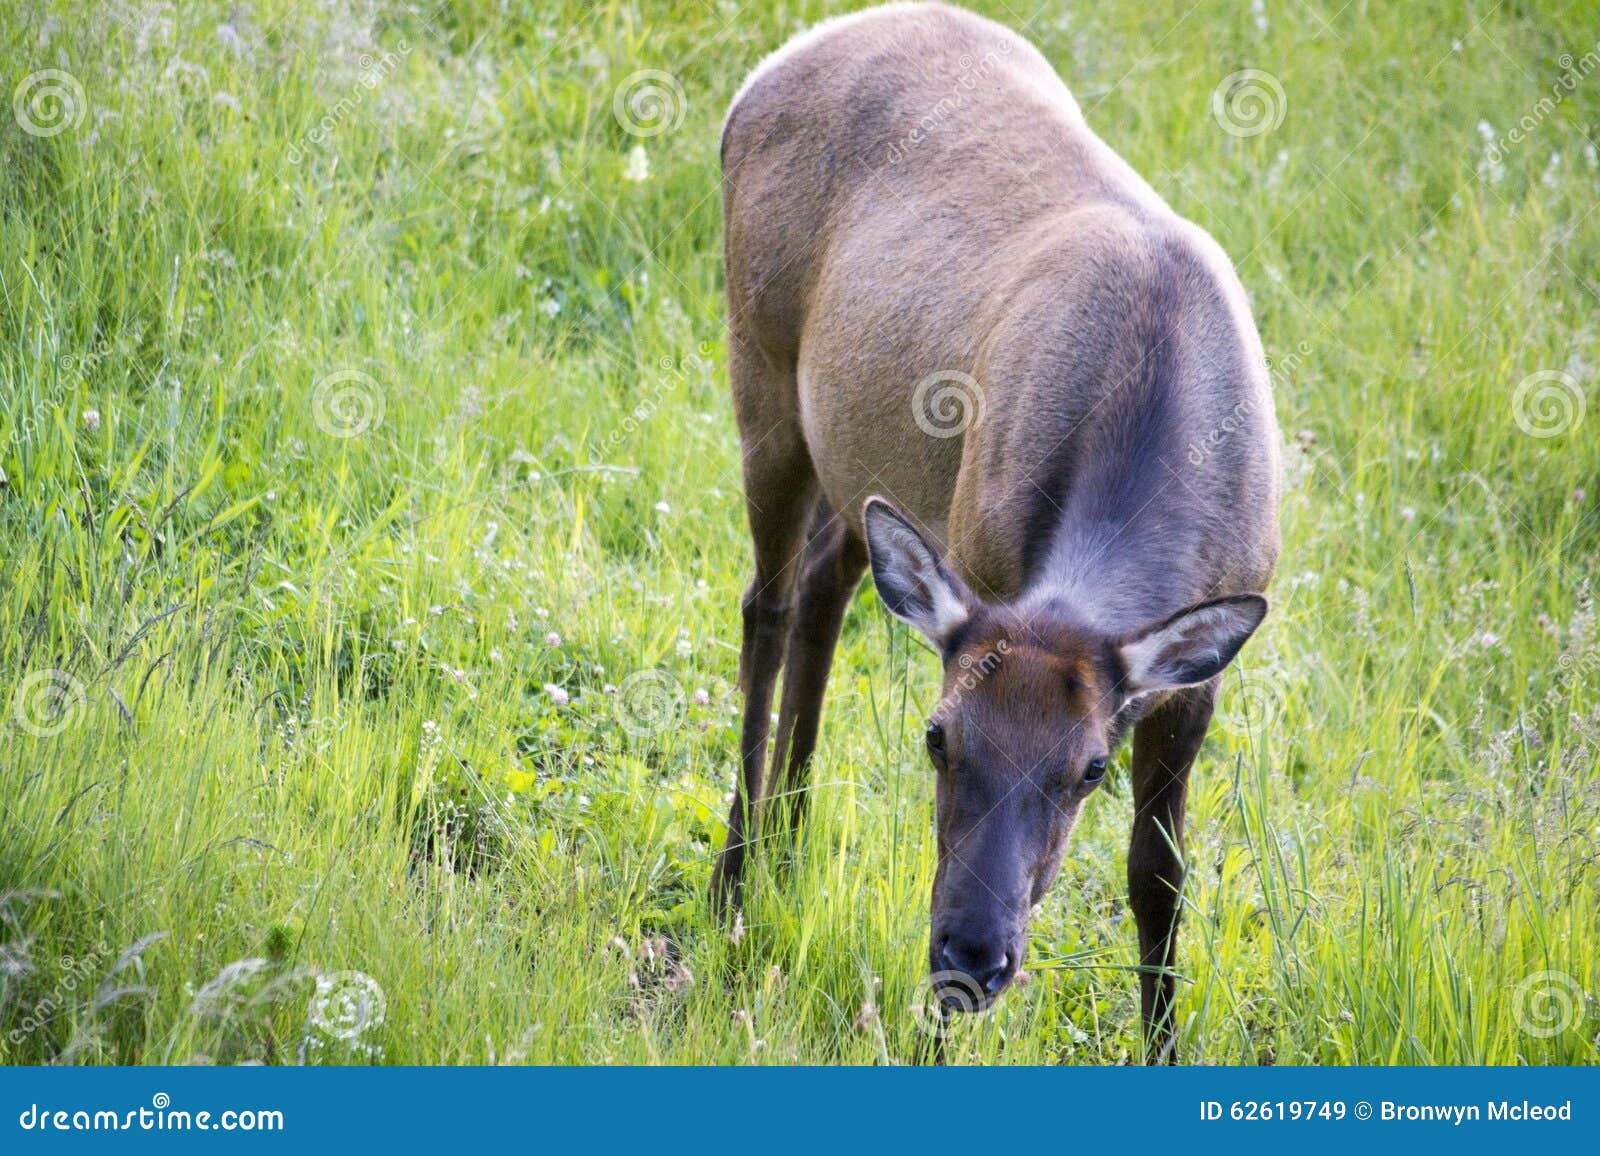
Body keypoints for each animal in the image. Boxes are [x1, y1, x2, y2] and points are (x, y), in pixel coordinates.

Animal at [709, 1, 1281, 1062]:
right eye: (937, 737)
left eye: (1090, 767)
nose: (973, 958)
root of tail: (770, 68)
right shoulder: (977, 563)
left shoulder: (1197, 682)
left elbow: (1160, 879)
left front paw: (1164, 1044)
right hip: (759, 363)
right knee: (764, 605)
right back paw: (733, 876)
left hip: (858, 445)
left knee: (825, 579)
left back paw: (790, 844)